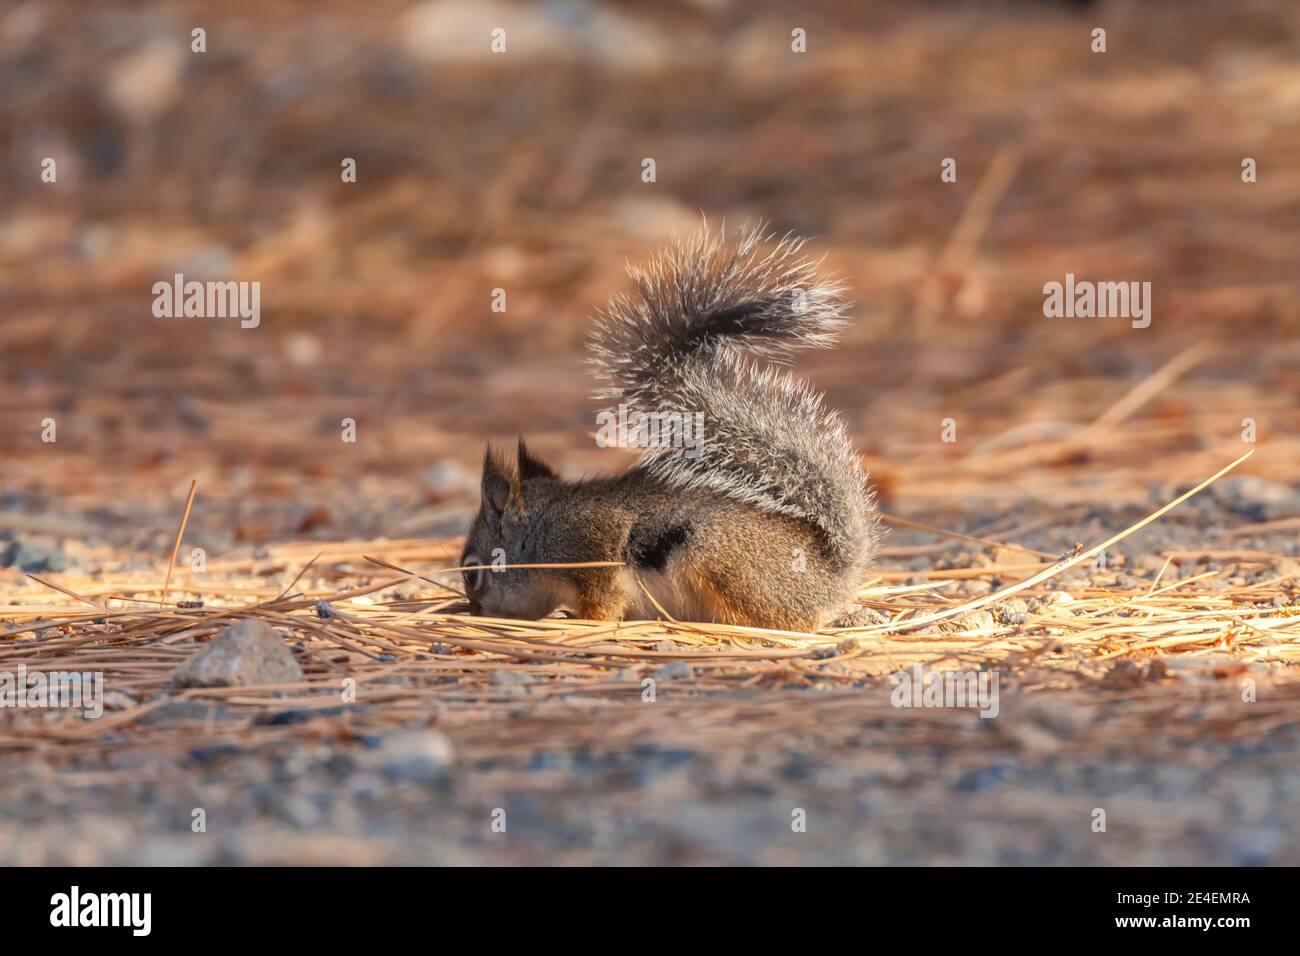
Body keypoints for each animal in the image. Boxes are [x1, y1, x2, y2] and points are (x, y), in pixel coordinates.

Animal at [460, 224, 879, 631]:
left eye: (470, 572)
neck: (540, 528)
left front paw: (585, 619)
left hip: (720, 555)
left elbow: (602, 598)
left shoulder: (590, 540)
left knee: (797, 618)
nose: (473, 611)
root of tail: (832, 575)